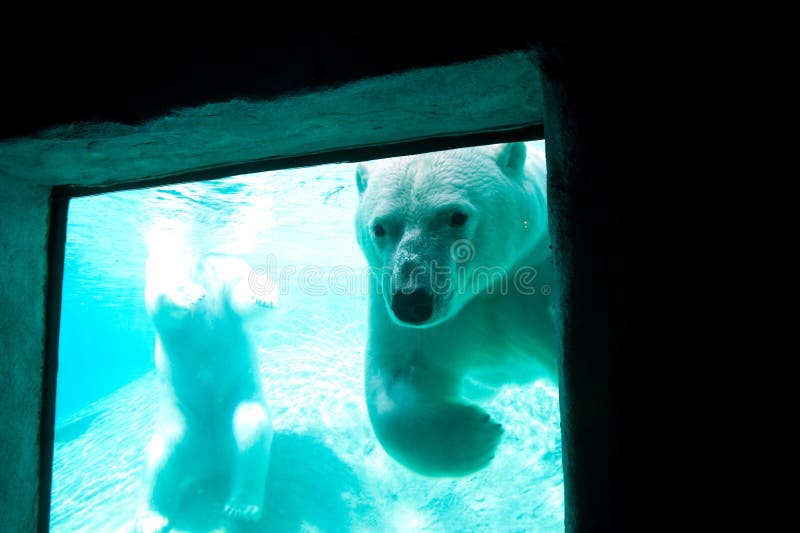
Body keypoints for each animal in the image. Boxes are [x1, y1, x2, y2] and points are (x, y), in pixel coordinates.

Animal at [135, 243, 278, 533]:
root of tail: (211, 463)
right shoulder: (160, 274)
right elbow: (159, 302)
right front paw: (190, 294)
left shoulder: (227, 272)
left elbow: (240, 298)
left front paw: (265, 296)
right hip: (180, 416)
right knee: (162, 454)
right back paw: (153, 519)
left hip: (238, 401)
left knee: (252, 433)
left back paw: (241, 507)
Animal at [354, 141, 558, 477]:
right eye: (380, 228)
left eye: (457, 216)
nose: (412, 303)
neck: (489, 286)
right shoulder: (404, 313)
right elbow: (394, 374)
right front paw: (478, 437)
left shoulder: (532, 278)